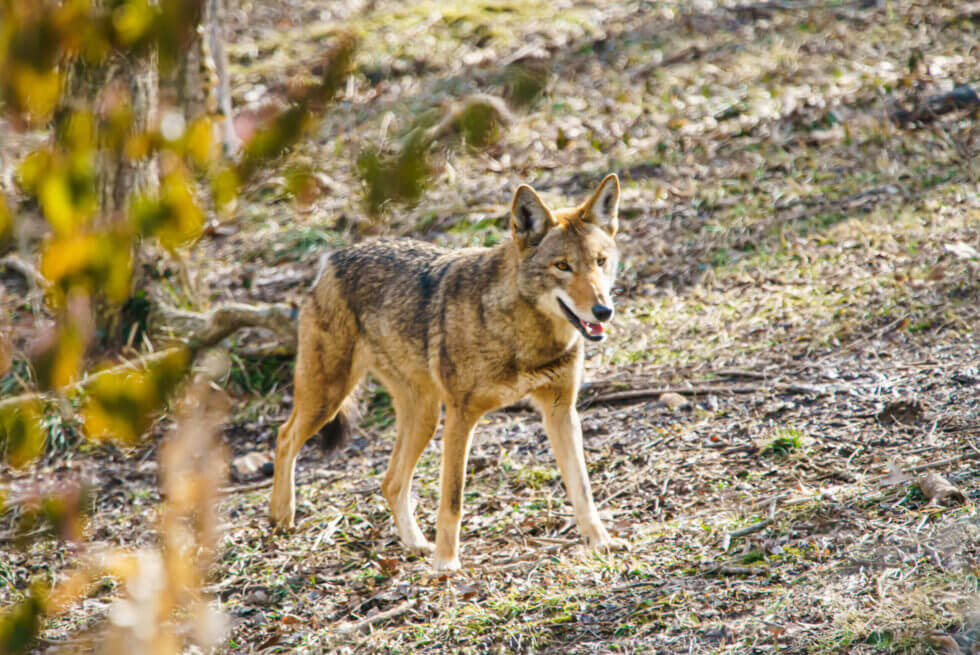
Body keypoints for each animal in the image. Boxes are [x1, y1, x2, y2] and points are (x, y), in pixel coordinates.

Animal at [269, 174, 624, 571]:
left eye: (600, 262)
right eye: (562, 266)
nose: (603, 311)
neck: (525, 336)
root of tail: (332, 258)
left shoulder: (560, 411)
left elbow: (582, 489)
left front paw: (601, 541)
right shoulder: (461, 416)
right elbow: (452, 501)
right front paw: (445, 564)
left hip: (422, 417)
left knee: (390, 482)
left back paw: (415, 544)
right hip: (328, 398)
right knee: (284, 437)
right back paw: (281, 516)